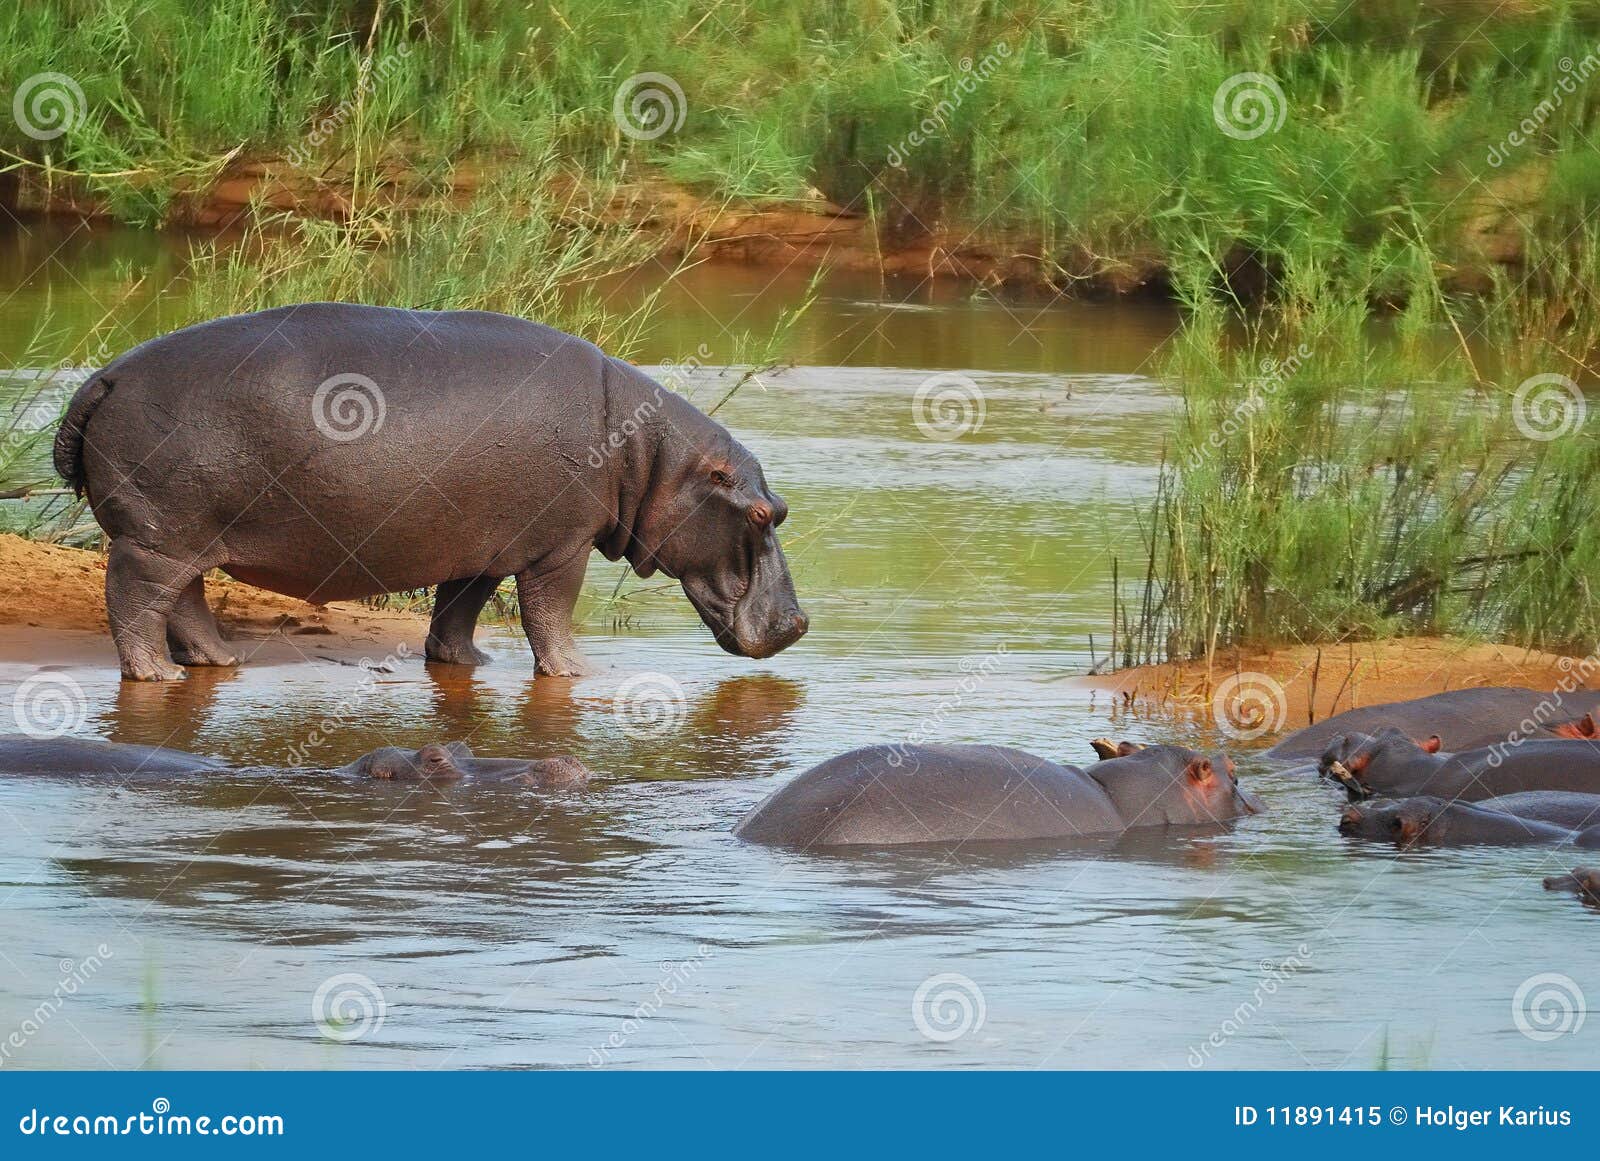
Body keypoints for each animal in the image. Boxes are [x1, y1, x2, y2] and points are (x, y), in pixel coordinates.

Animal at [53, 303, 807, 681]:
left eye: (783, 509)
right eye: (762, 512)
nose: (800, 624)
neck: (650, 456)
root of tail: (106, 375)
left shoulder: (484, 545)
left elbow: (458, 610)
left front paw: (468, 662)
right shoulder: (558, 548)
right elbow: (551, 613)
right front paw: (577, 673)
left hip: (183, 536)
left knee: (184, 601)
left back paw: (219, 661)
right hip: (158, 538)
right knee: (134, 598)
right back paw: (155, 676)